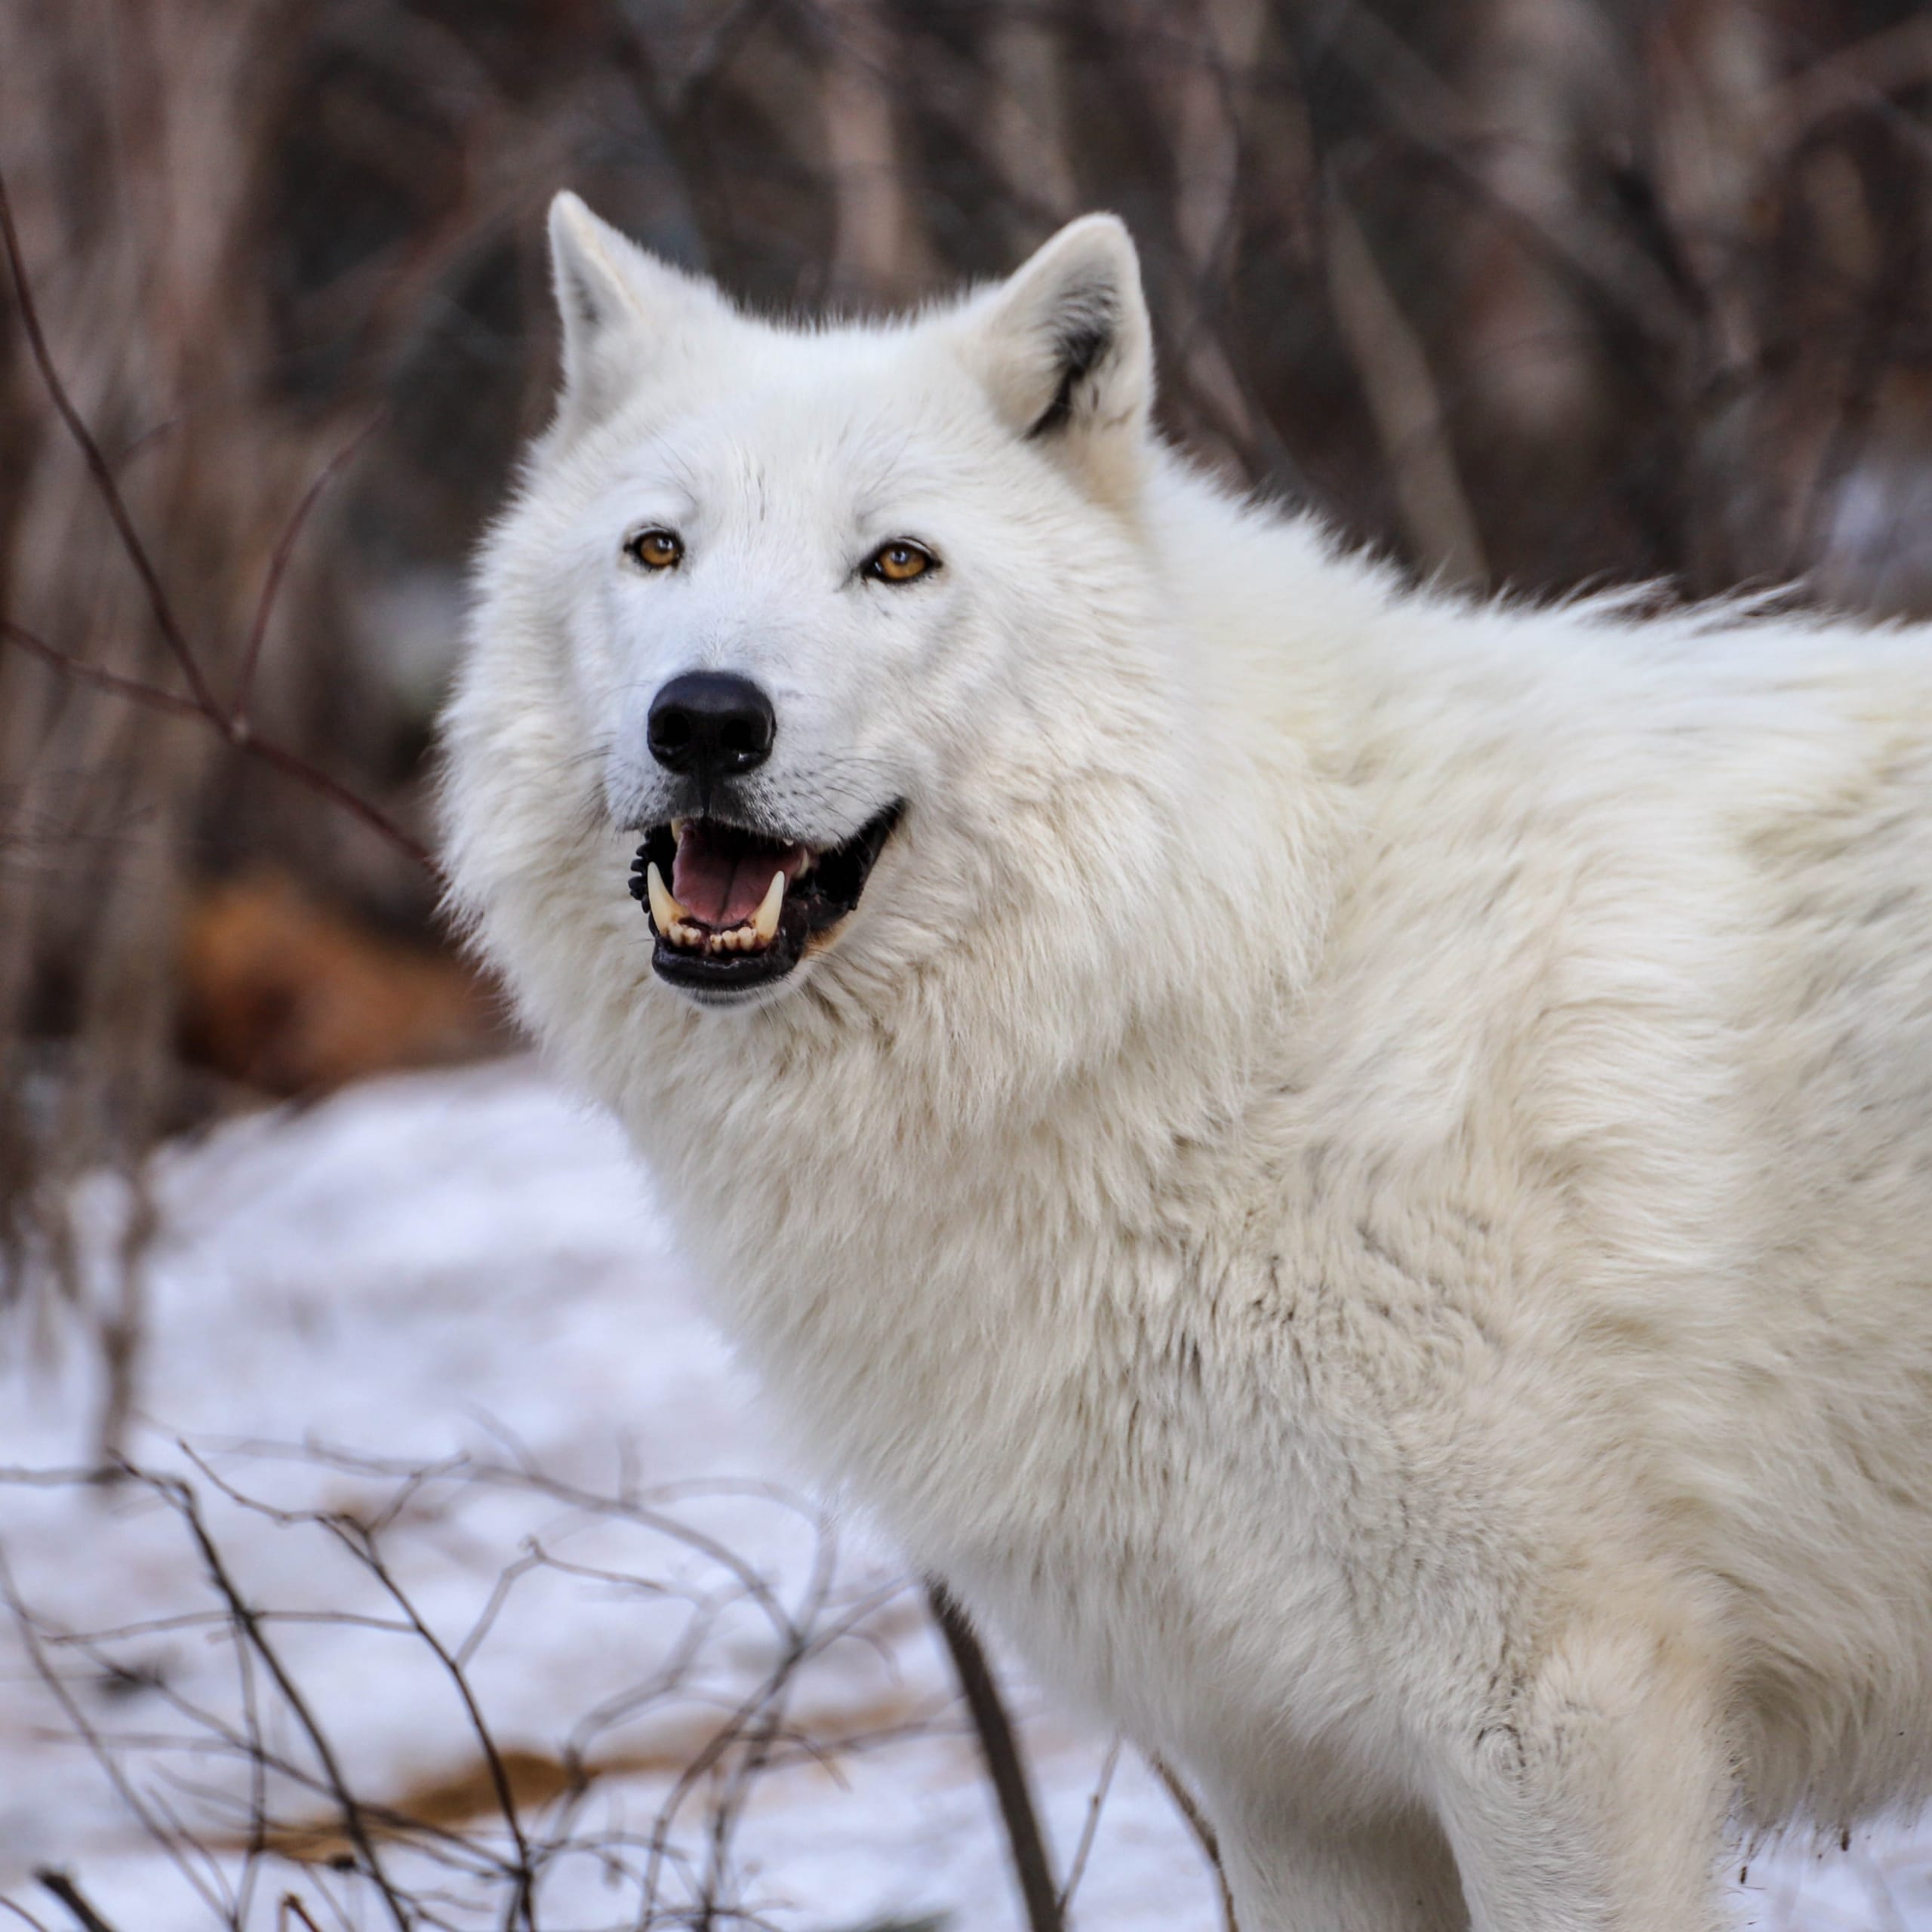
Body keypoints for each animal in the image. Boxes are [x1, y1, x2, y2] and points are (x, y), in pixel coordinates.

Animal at [441, 192, 1932, 1929]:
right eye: (657, 549)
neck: (1233, 989)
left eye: (896, 562)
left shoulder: (1559, 1708)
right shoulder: (1291, 1774)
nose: (703, 719)